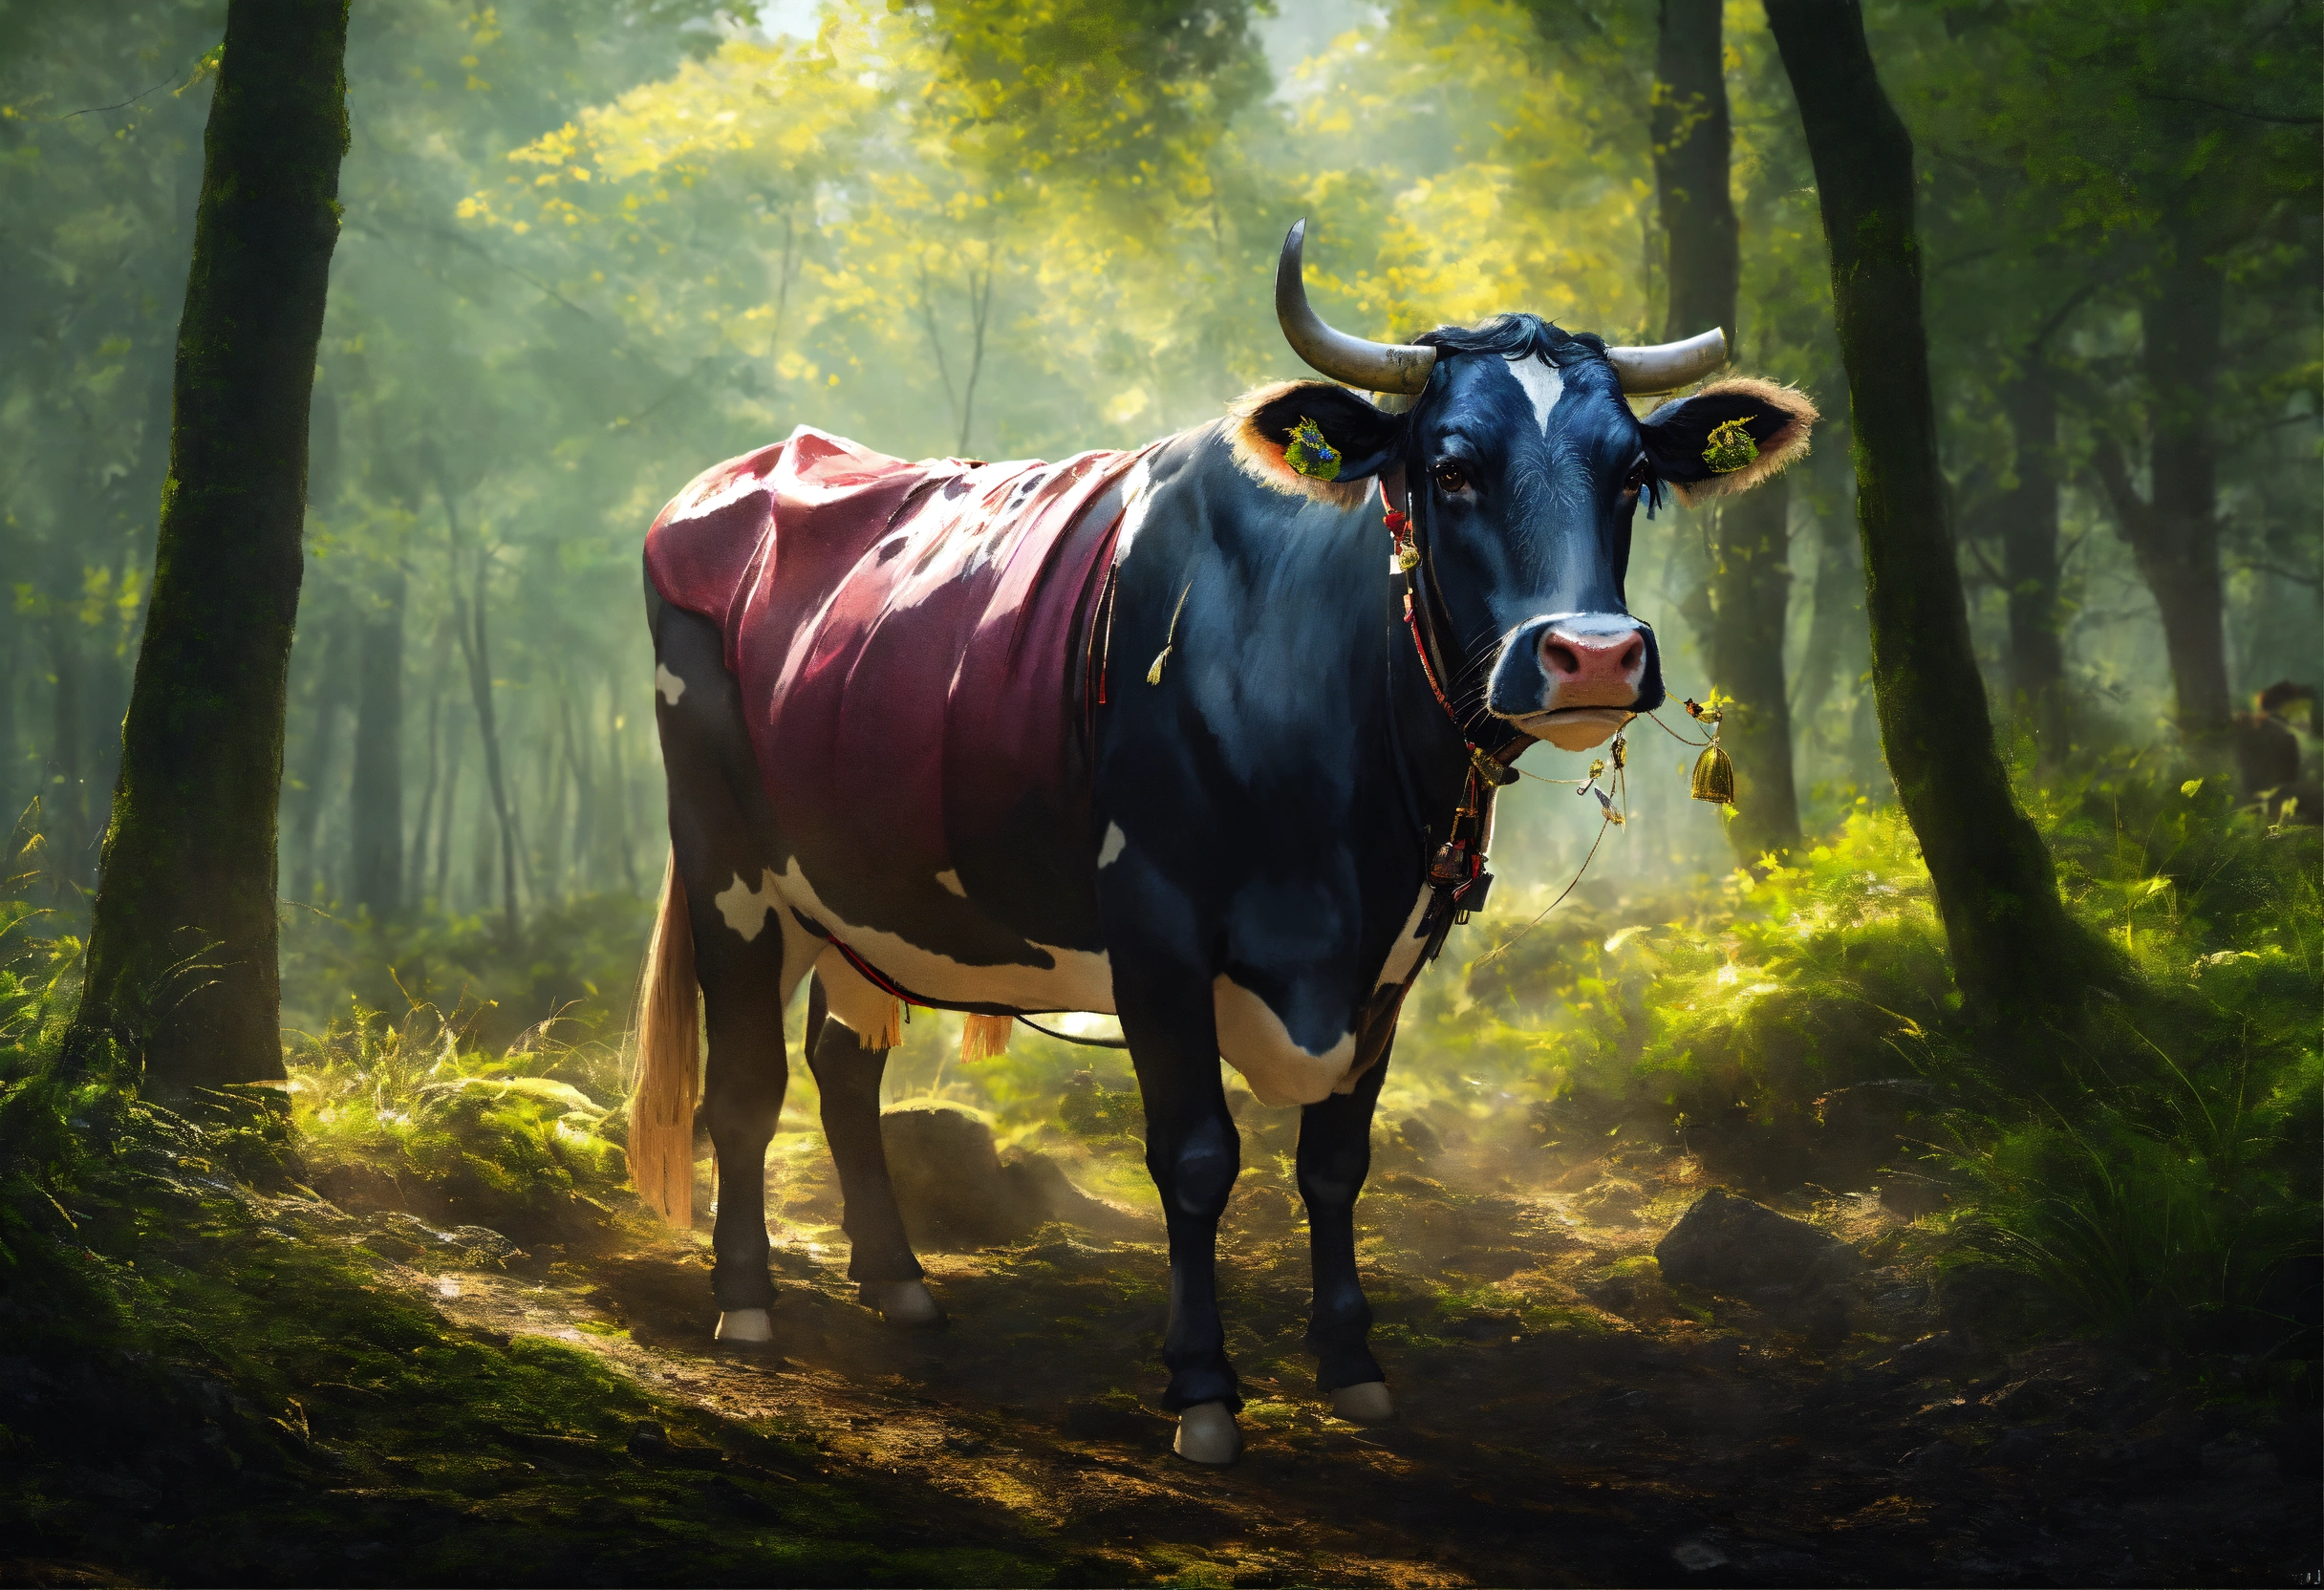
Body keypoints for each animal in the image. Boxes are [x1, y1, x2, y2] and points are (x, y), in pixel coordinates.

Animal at [630, 220, 1816, 1464]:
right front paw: (1201, 1385)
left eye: (1630, 472)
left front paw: (1351, 1363)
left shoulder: (1395, 950)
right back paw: (746, 1301)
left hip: (863, 894)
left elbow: (1336, 1161)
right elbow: (1196, 1156)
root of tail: (747, 473)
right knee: (747, 1080)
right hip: (727, 868)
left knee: (843, 1064)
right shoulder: (1154, 929)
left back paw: (898, 1280)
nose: (1591, 655)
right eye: (1450, 467)